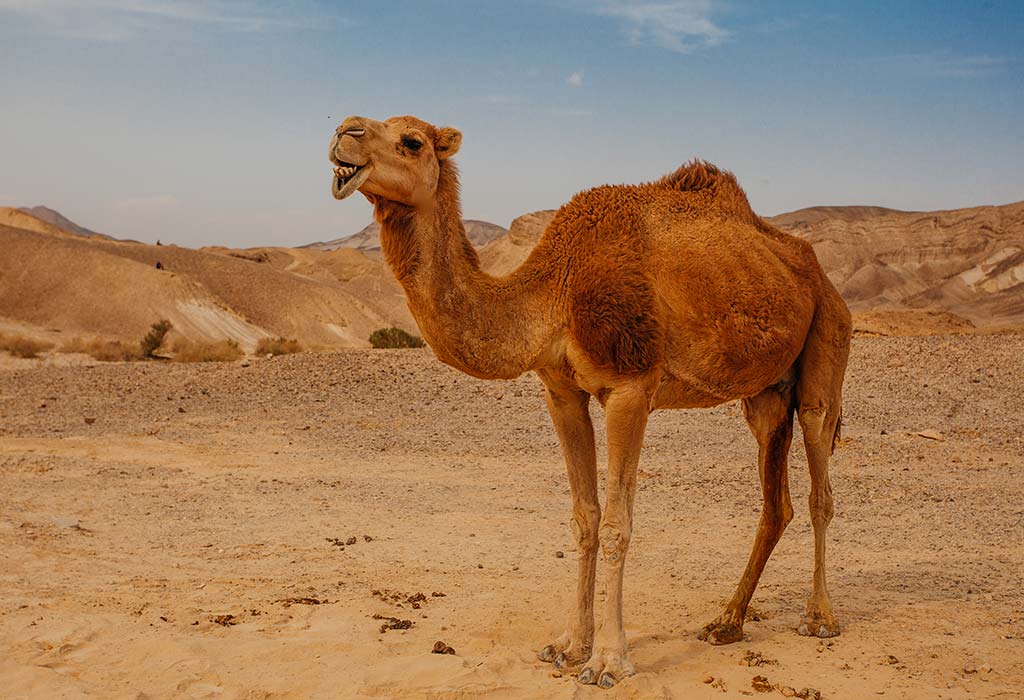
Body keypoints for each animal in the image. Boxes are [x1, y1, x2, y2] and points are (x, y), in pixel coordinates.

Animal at [328, 115, 852, 689]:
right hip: (765, 394)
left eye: (412, 141)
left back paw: (820, 618)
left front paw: (607, 660)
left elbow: (617, 523)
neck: (554, 292)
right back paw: (727, 622)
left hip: (827, 340)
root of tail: (817, 271)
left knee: (819, 482)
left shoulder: (630, 387)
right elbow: (584, 517)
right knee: (775, 500)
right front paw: (567, 645)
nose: (345, 132)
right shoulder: (561, 391)